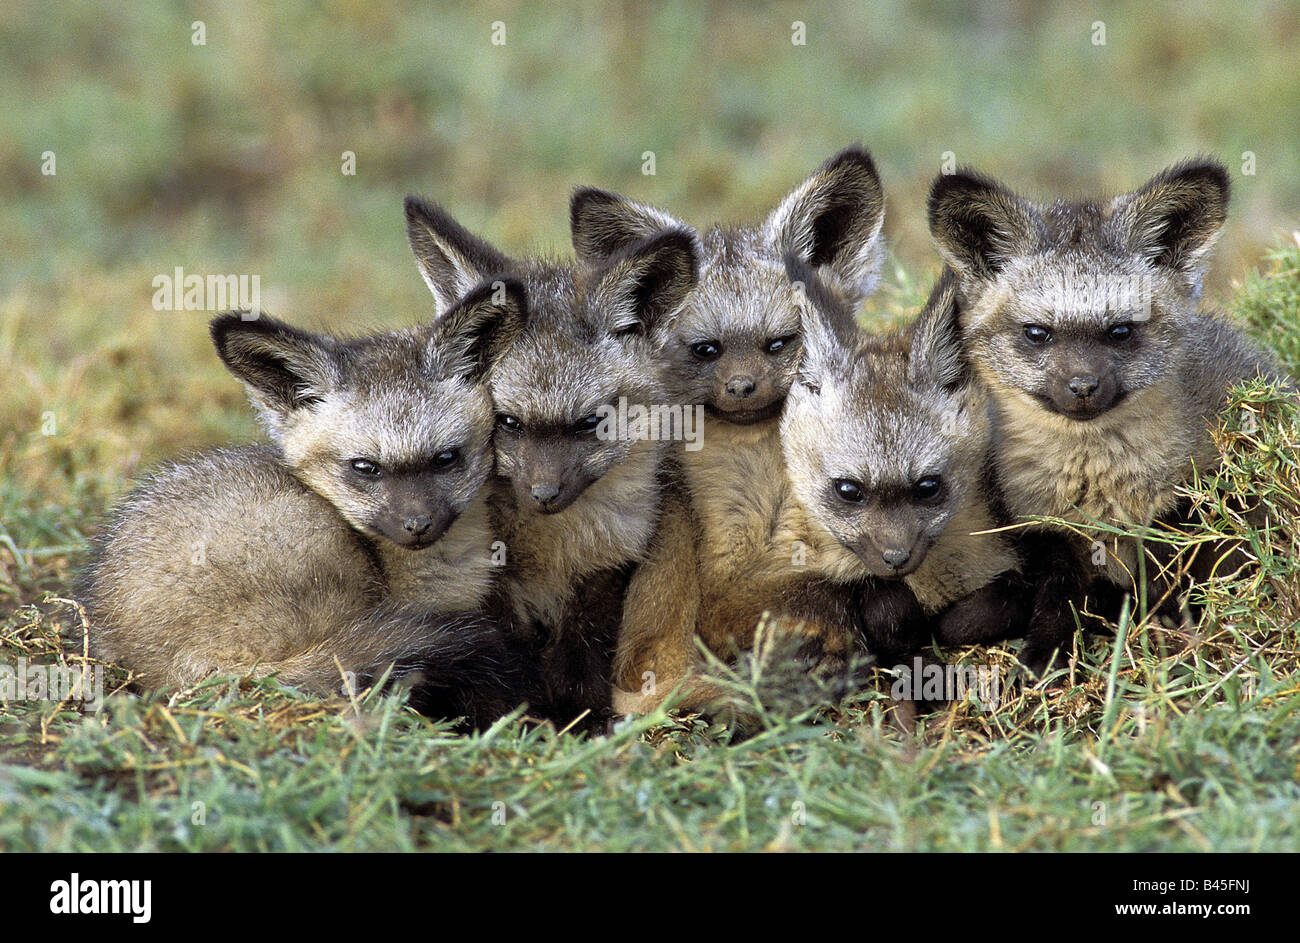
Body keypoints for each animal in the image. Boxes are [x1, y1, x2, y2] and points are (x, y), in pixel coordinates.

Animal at [403, 197, 699, 726]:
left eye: (590, 423)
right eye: (508, 422)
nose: (543, 494)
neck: (557, 547)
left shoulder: (606, 571)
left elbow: (580, 658)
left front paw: (583, 721)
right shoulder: (489, 581)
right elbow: (505, 657)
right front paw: (518, 720)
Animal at [926, 157, 1287, 672]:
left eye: (1120, 331)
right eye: (1037, 333)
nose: (1082, 388)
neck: (1098, 484)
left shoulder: (1181, 512)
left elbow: (1169, 586)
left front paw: (1173, 641)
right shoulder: (1045, 531)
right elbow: (1058, 603)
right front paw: (1046, 658)